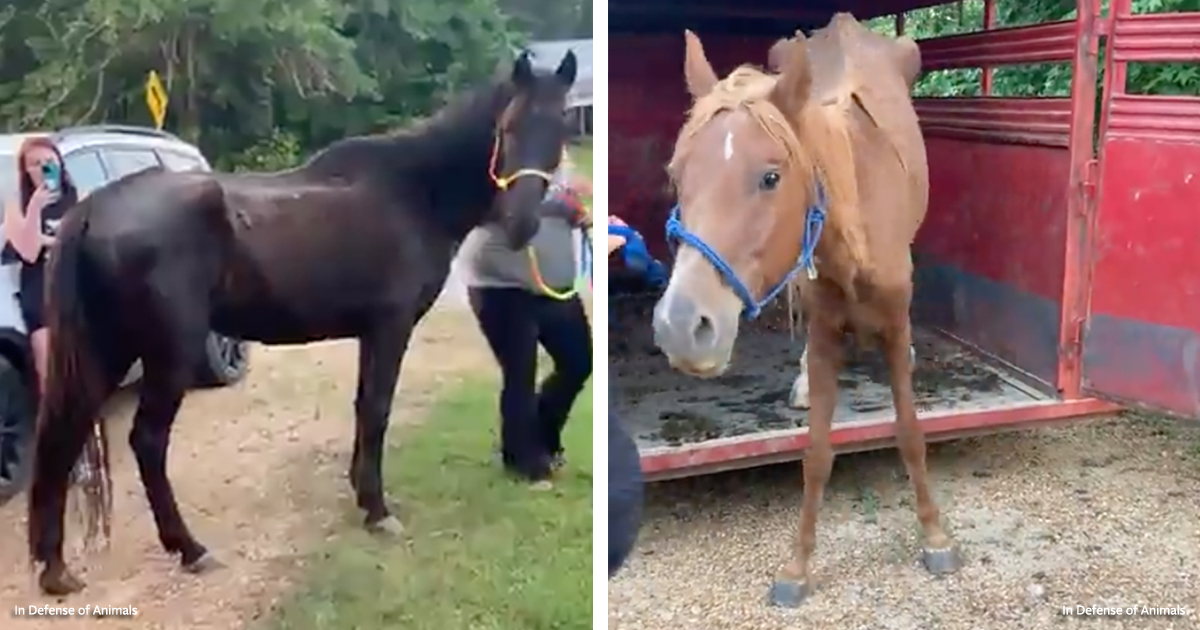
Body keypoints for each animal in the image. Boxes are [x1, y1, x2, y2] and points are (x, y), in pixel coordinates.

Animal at [27, 50, 578, 596]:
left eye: (560, 128)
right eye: (507, 127)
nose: (521, 223)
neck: (415, 192)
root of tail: (92, 208)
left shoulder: (370, 332)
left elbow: (363, 407)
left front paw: (361, 493)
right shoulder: (391, 326)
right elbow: (377, 409)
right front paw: (378, 510)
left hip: (108, 349)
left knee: (62, 433)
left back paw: (55, 568)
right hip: (166, 353)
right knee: (146, 440)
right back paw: (189, 548)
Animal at [649, 15, 961, 608]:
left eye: (771, 177)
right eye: (676, 173)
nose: (681, 327)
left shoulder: (894, 322)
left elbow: (911, 435)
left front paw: (935, 537)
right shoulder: (822, 334)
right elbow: (816, 455)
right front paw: (797, 568)